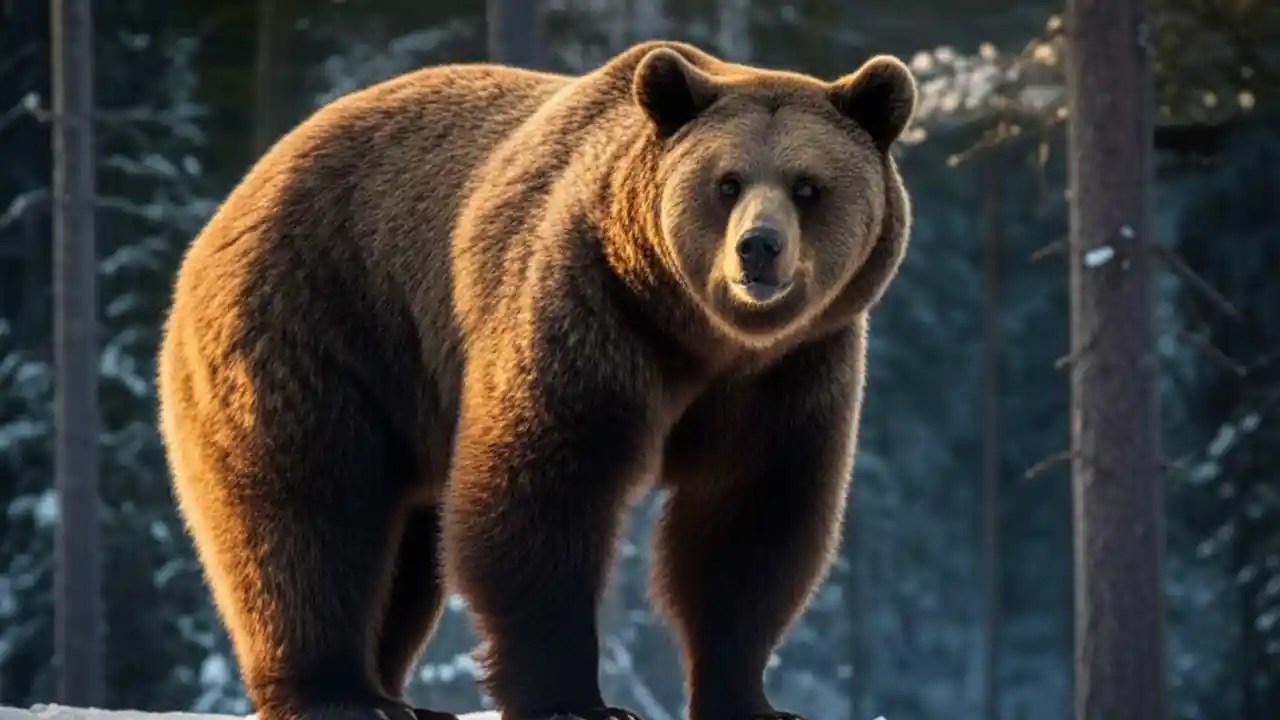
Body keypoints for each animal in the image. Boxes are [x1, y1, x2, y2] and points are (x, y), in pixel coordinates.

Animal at [157, 39, 915, 720]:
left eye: (808, 186)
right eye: (725, 182)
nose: (758, 248)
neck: (701, 336)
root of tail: (234, 199)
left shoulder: (792, 372)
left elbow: (753, 522)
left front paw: (752, 700)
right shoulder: (590, 310)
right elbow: (541, 495)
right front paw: (575, 702)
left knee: (405, 551)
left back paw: (398, 696)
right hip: (318, 323)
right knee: (312, 509)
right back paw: (340, 696)